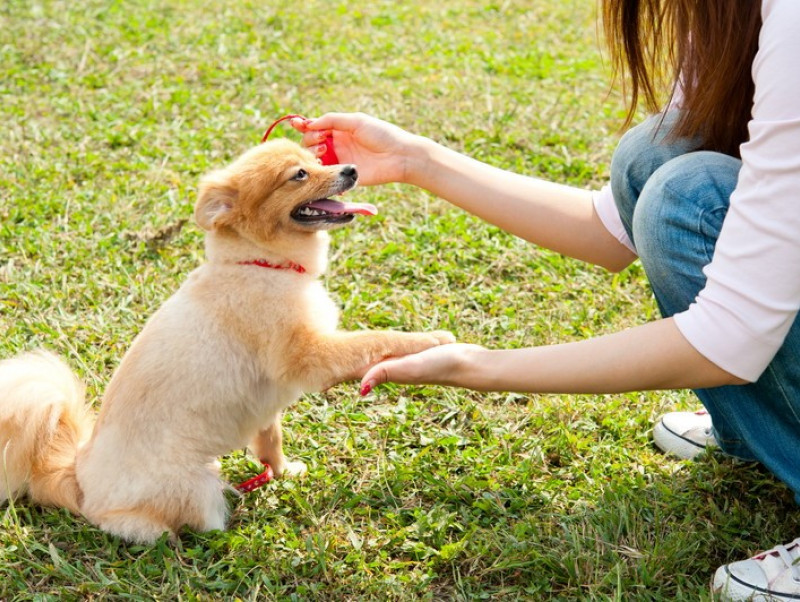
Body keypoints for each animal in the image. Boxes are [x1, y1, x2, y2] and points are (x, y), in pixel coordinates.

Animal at [0, 138, 454, 540]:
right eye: (299, 174)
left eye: (317, 159)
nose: (351, 169)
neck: (262, 263)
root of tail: (78, 475)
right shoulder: (309, 356)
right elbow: (374, 339)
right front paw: (431, 339)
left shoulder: (268, 404)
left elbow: (271, 441)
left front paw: (283, 473)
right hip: (195, 486)